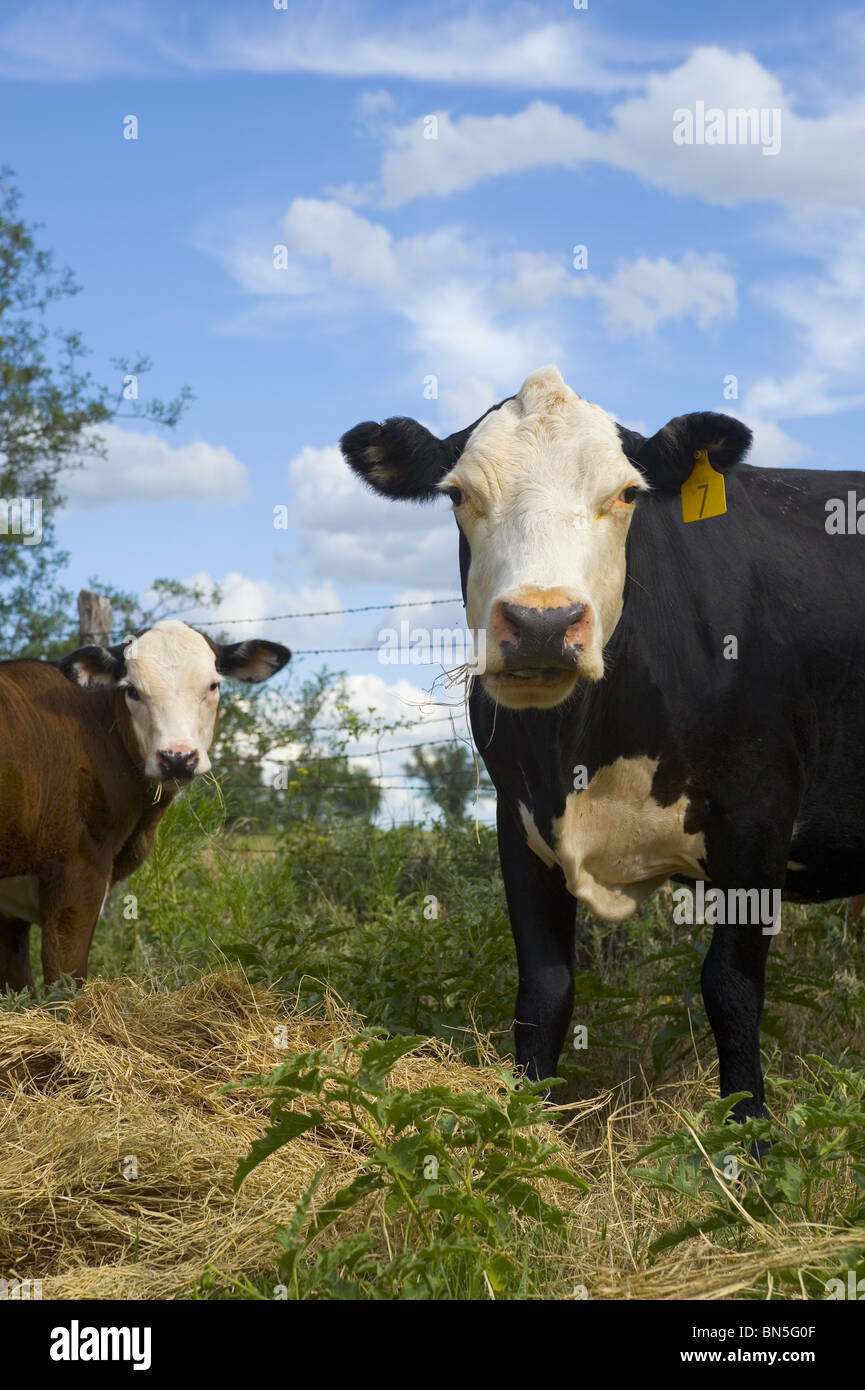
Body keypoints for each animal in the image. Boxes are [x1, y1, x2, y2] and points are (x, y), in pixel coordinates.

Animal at [0, 619, 290, 994]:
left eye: (213, 685)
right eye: (133, 691)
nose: (177, 757)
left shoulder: (10, 912)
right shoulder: (77, 875)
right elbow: (64, 983)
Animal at [341, 365, 865, 1125]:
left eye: (624, 494)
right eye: (459, 493)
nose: (540, 623)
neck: (582, 751)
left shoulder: (760, 813)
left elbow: (731, 989)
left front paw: (748, 1138)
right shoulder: (519, 818)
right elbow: (544, 990)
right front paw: (522, 1126)